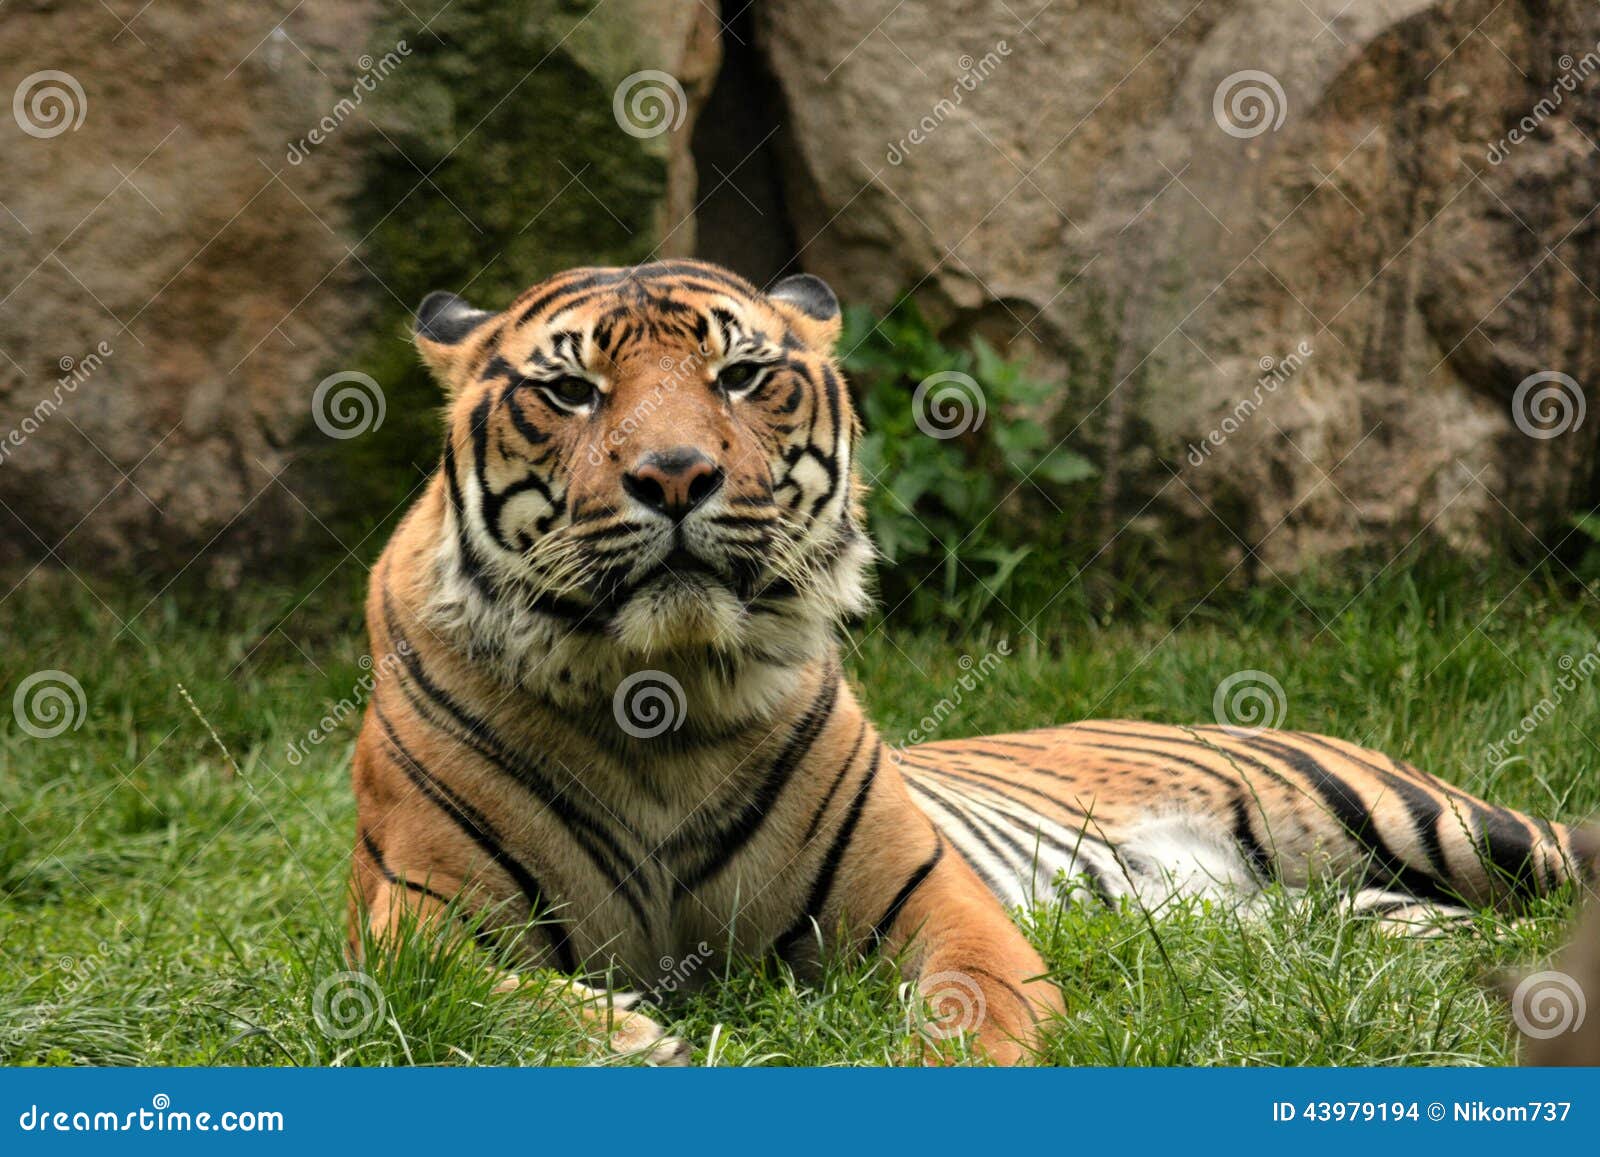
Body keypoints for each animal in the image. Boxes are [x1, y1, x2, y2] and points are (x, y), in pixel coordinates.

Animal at [348, 257, 1596, 1066]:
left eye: (742, 376)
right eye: (570, 390)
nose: (673, 474)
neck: (662, 695)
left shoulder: (930, 893)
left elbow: (980, 1003)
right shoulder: (406, 923)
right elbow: (492, 995)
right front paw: (620, 1034)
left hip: (1433, 821)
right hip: (1363, 916)